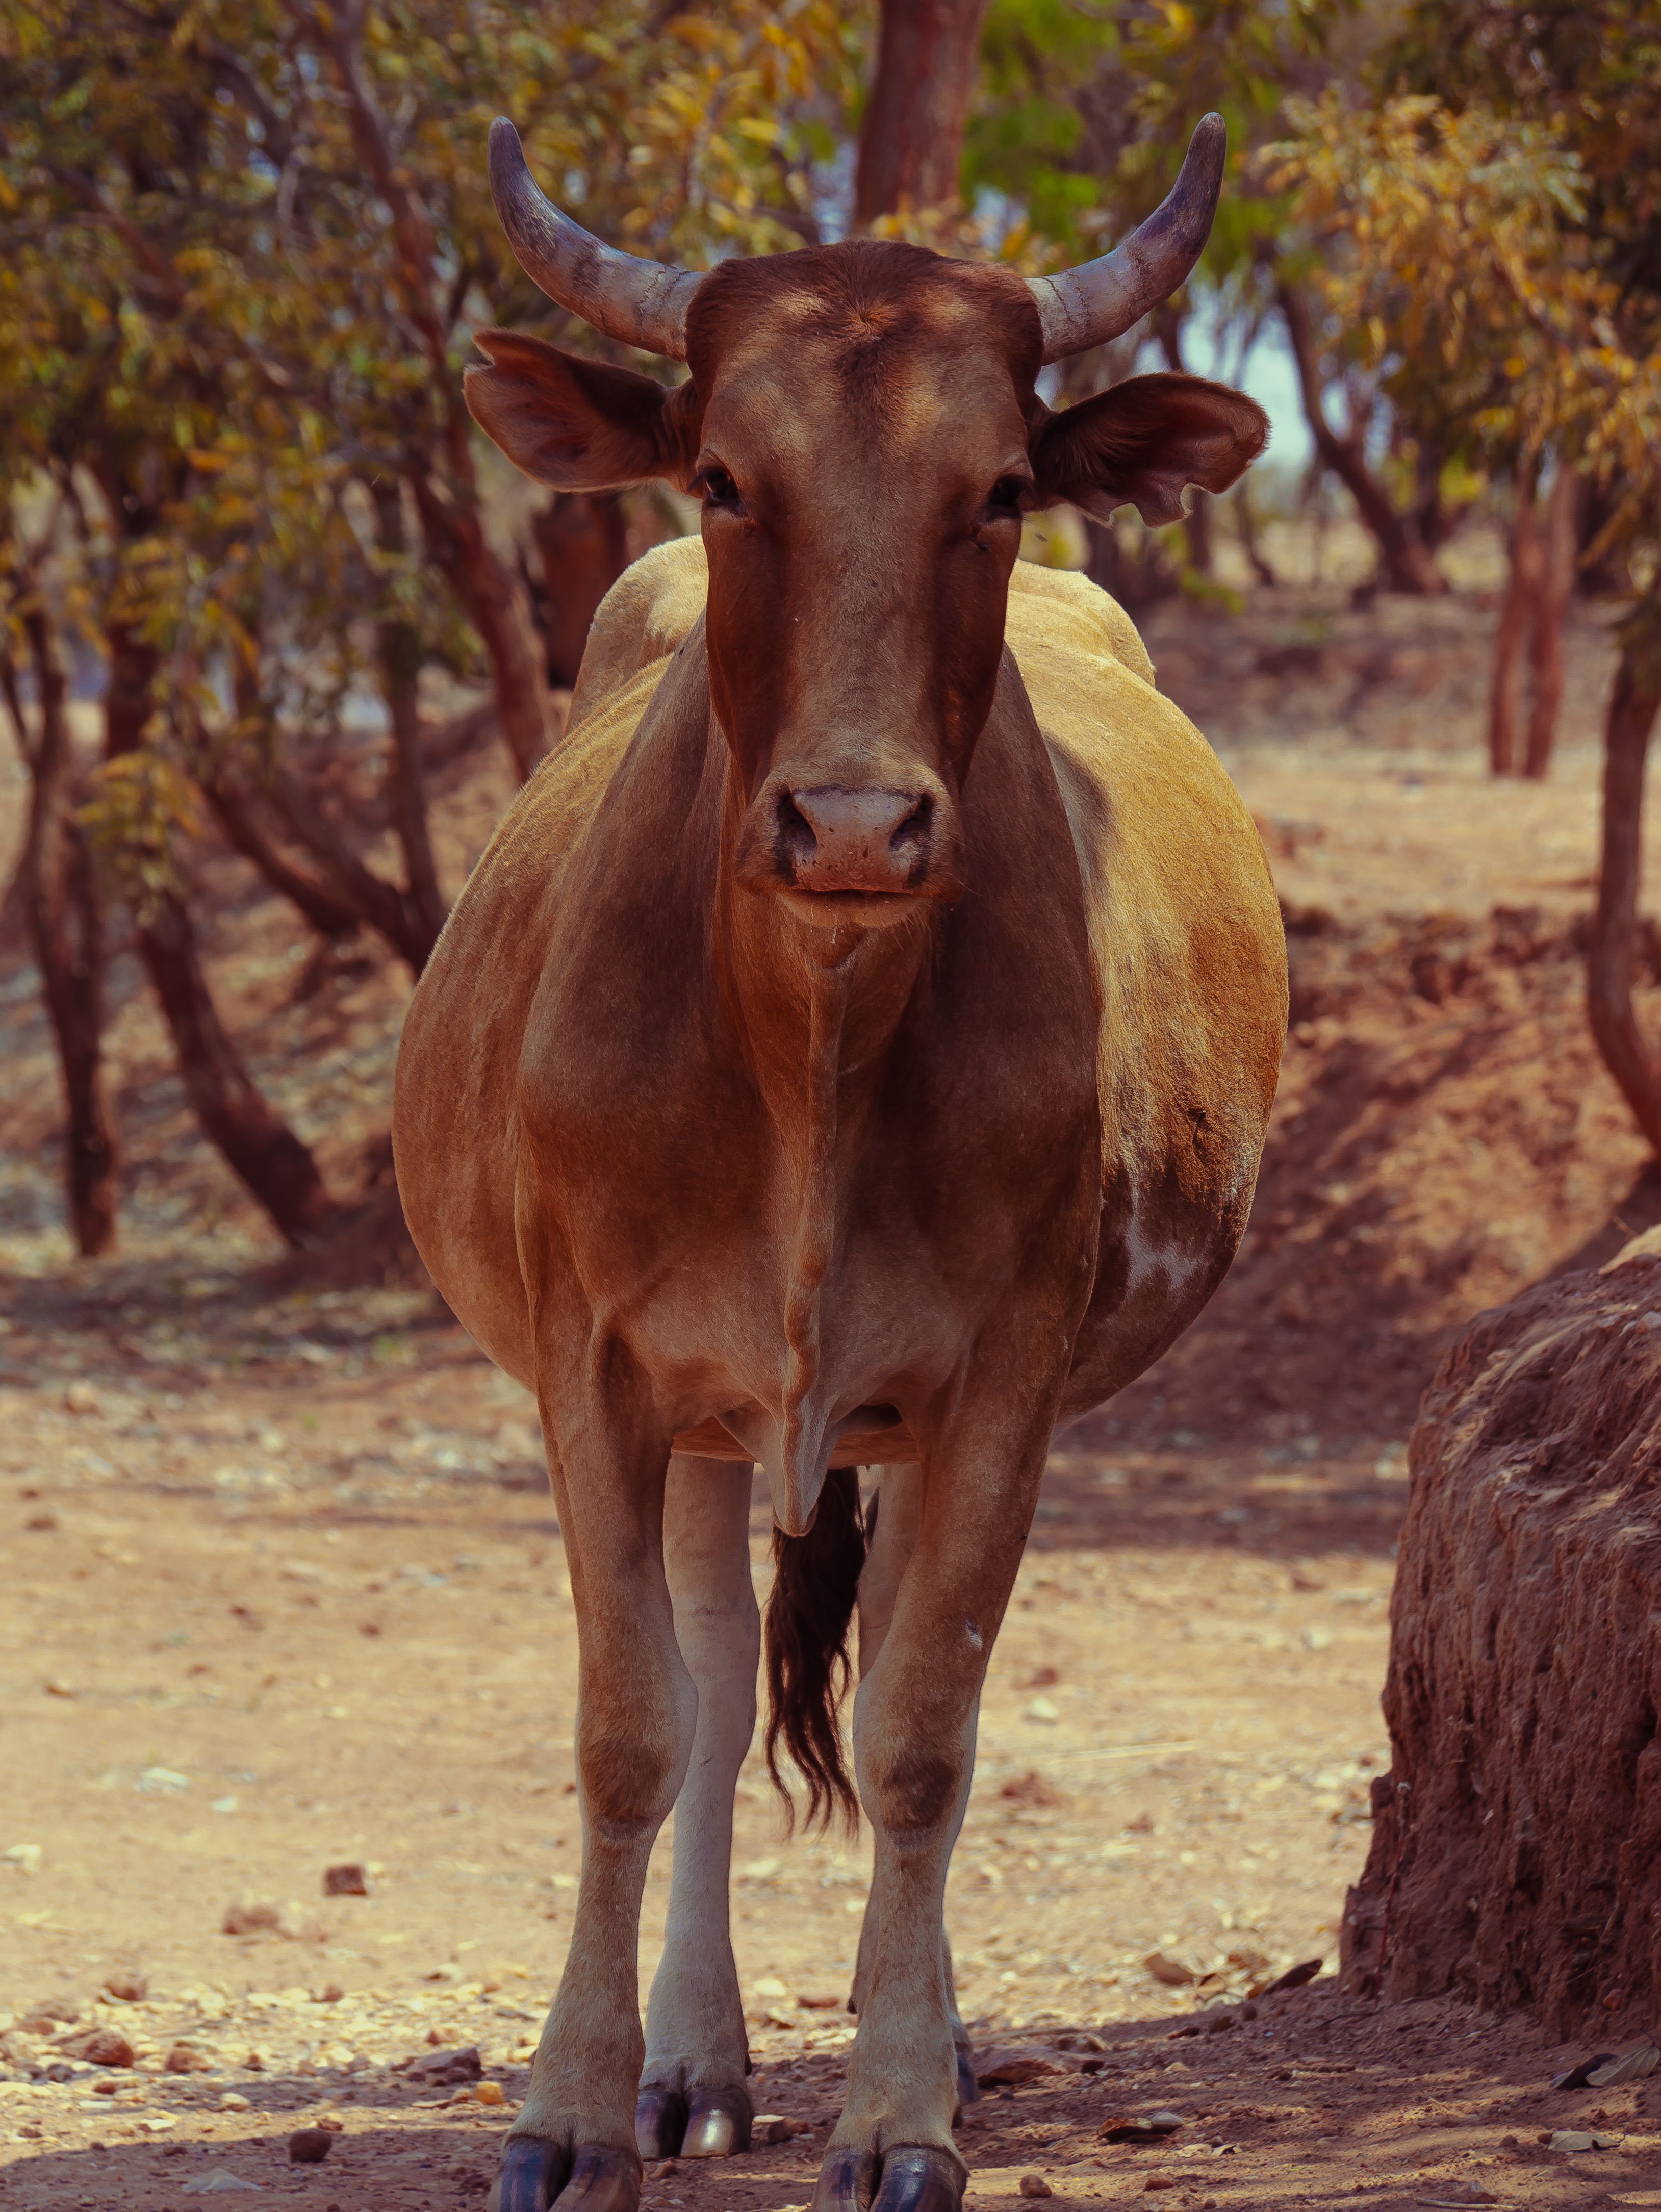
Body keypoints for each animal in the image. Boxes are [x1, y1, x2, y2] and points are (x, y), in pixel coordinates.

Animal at [392, 108, 1287, 2212]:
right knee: (724, 1677)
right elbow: (633, 1728)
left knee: (877, 1678)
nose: (859, 821)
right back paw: (693, 2059)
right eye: (727, 475)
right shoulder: (597, 1367)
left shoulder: (1000, 1378)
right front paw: (569, 2103)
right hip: (718, 1414)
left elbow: (923, 1735)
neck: (808, 1046)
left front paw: (897, 2108)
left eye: (1003, 485)